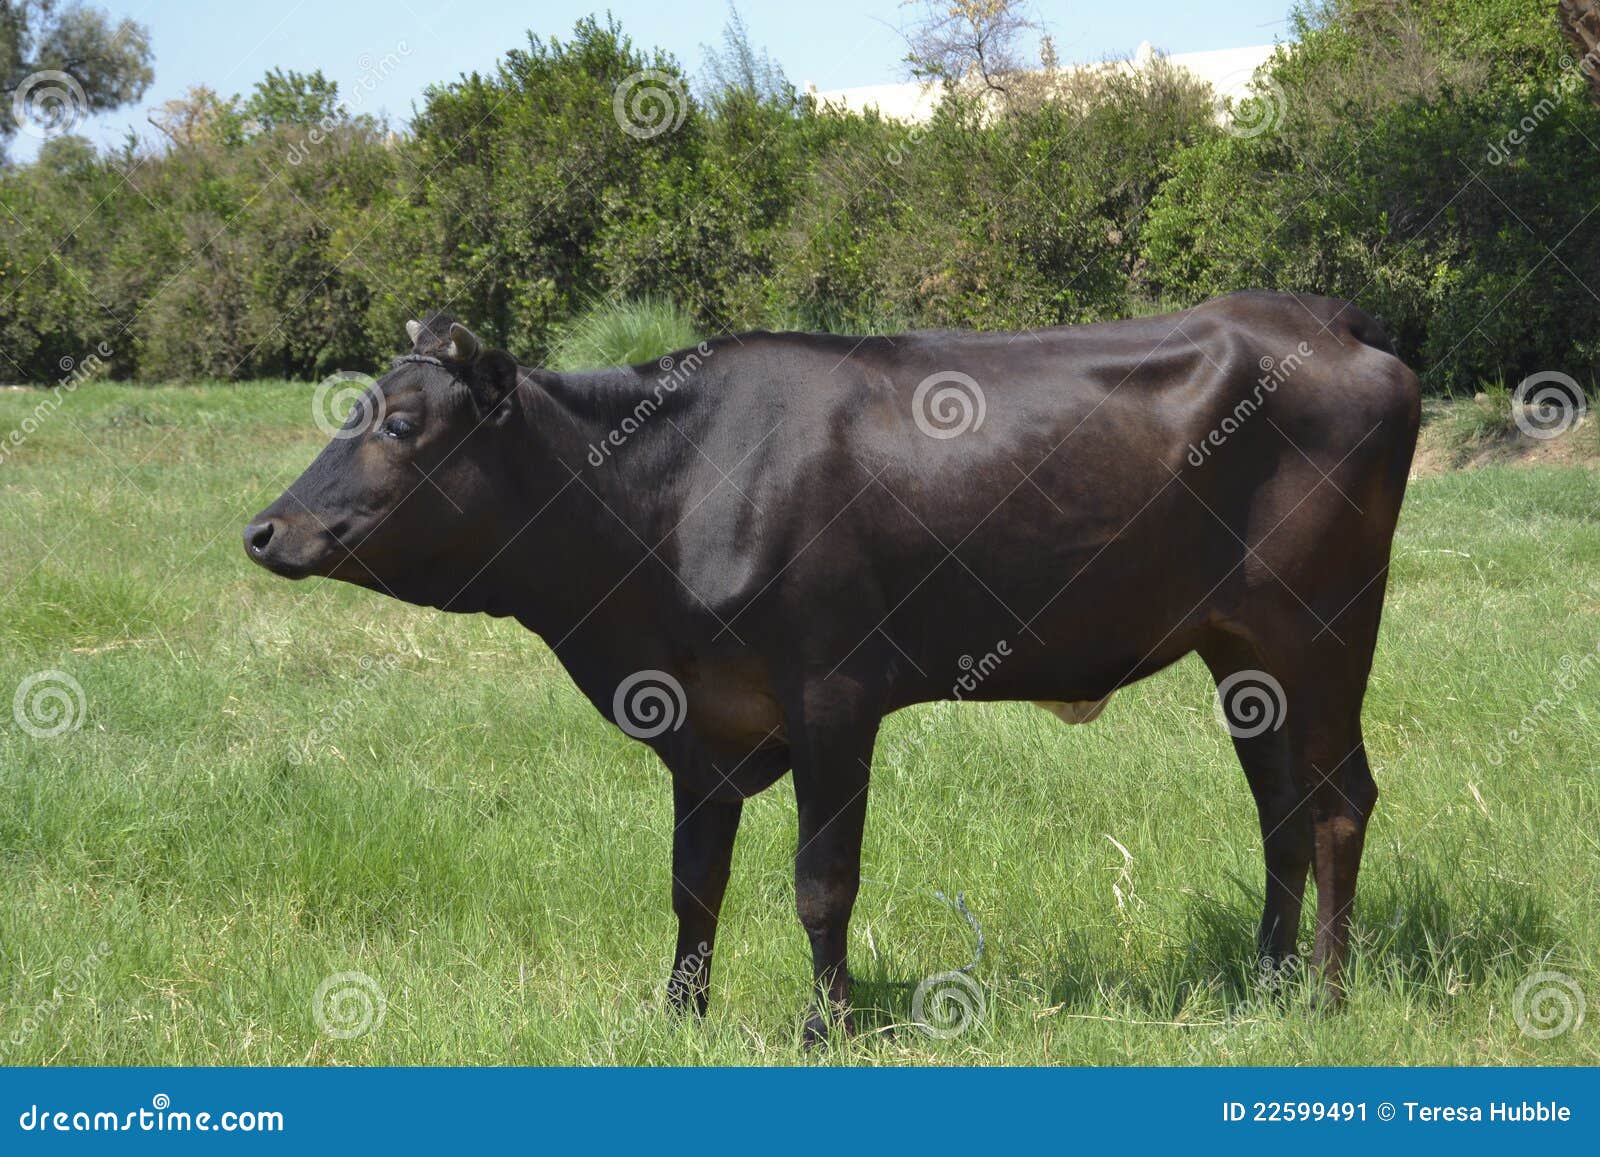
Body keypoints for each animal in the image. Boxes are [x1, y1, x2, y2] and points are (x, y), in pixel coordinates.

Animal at [245, 291, 1420, 1043]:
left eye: (401, 424)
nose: (265, 530)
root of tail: (1319, 318)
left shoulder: (834, 696)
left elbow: (821, 882)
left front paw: (829, 1025)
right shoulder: (700, 721)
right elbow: (694, 879)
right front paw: (680, 1013)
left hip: (1322, 630)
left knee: (1337, 801)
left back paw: (1323, 999)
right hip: (1242, 651)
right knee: (1279, 805)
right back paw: (1263, 982)